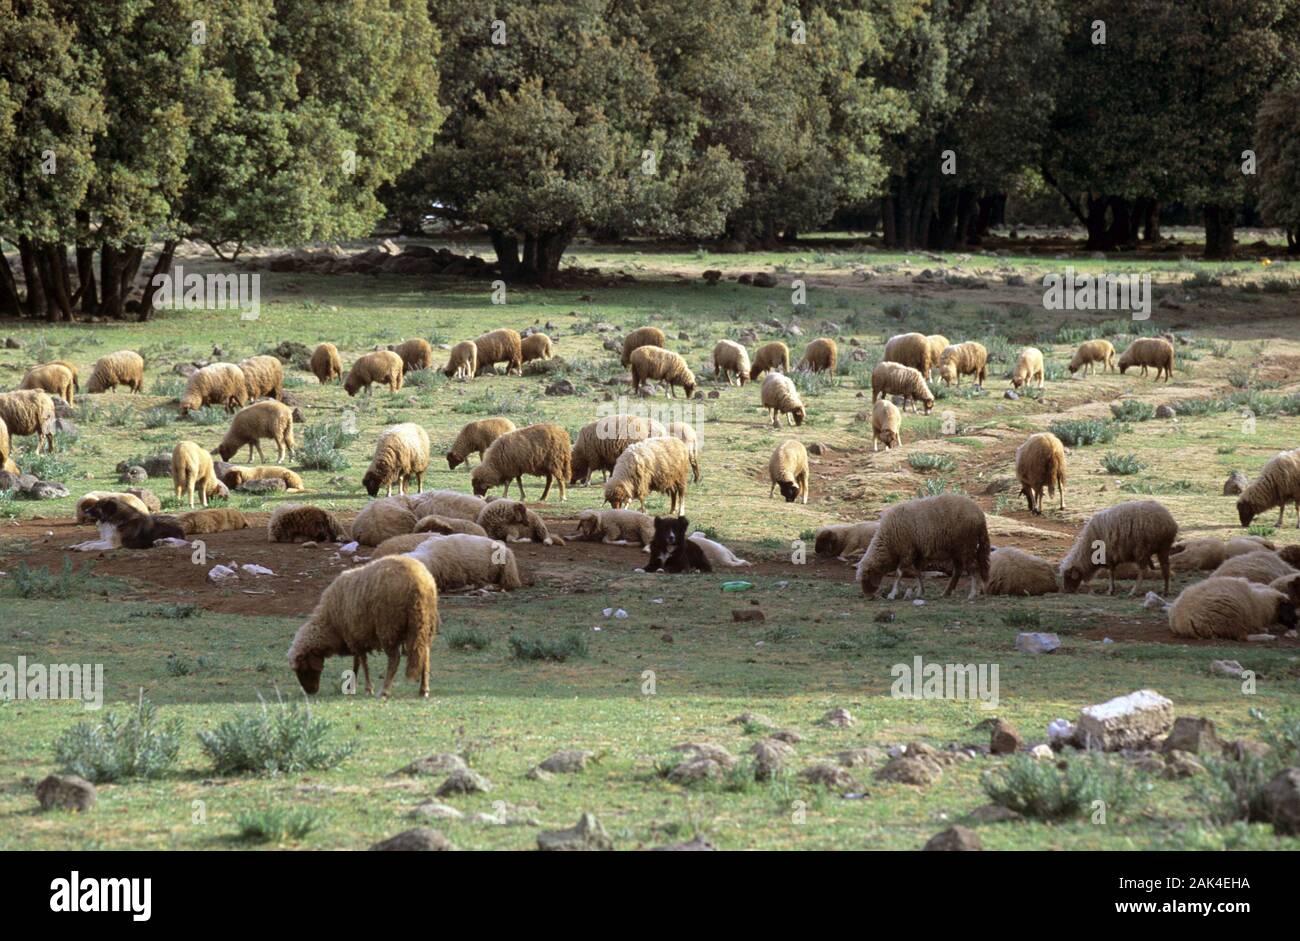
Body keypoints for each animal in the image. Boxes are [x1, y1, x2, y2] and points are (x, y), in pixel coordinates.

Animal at [289, 555, 439, 698]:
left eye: (303, 668)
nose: (310, 692)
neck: (330, 622)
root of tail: (419, 582)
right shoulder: (355, 636)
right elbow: (357, 662)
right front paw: (351, 687)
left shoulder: (356, 636)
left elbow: (362, 662)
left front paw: (367, 689)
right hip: (425, 625)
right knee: (425, 654)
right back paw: (424, 690)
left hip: (388, 626)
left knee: (394, 659)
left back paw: (384, 691)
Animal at [856, 494, 990, 600]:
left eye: (866, 577)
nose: (868, 596)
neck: (889, 542)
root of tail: (980, 514)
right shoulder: (916, 554)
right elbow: (918, 573)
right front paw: (921, 592)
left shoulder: (907, 551)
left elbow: (899, 573)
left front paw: (892, 594)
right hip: (956, 549)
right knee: (958, 570)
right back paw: (946, 592)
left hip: (966, 545)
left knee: (973, 567)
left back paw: (972, 594)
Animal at [1168, 576, 1297, 640]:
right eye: (1289, 606)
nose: (1296, 622)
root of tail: (1182, 622)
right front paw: (1265, 630)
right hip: (1231, 617)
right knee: (1242, 637)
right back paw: (1268, 636)